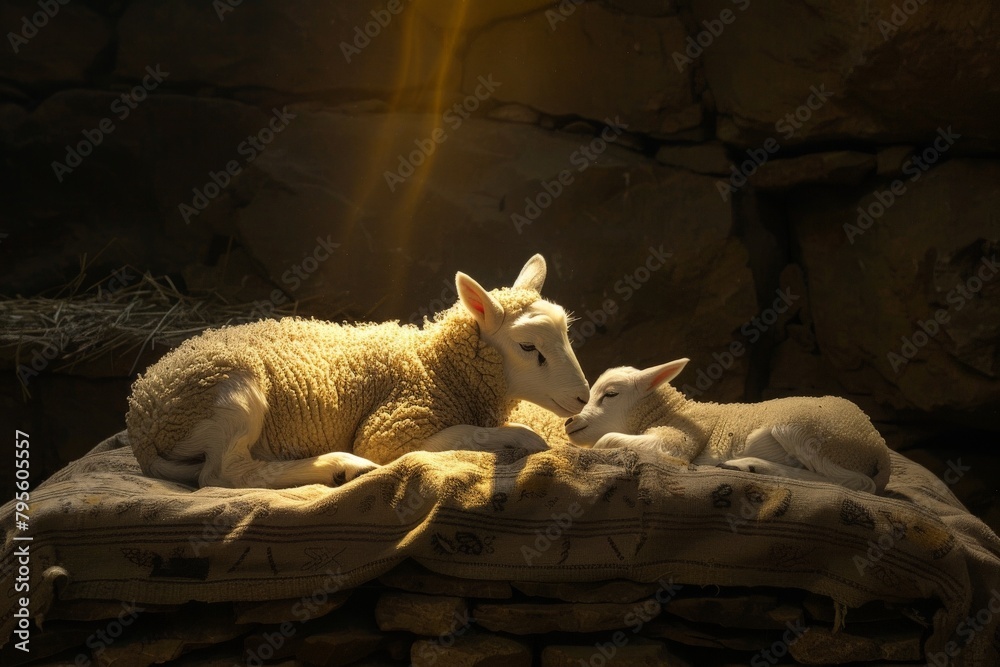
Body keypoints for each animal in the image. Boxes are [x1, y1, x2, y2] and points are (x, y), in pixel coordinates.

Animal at [126, 254, 590, 489]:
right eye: (528, 347)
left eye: (566, 335)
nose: (583, 397)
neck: (434, 365)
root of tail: (140, 428)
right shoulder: (392, 429)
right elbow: (468, 436)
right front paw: (526, 439)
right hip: (232, 395)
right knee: (222, 474)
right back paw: (342, 465)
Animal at [564, 358, 891, 493]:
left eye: (611, 394)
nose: (569, 421)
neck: (671, 412)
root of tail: (879, 447)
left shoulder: (677, 442)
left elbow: (607, 438)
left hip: (807, 430)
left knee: (855, 483)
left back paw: (749, 465)